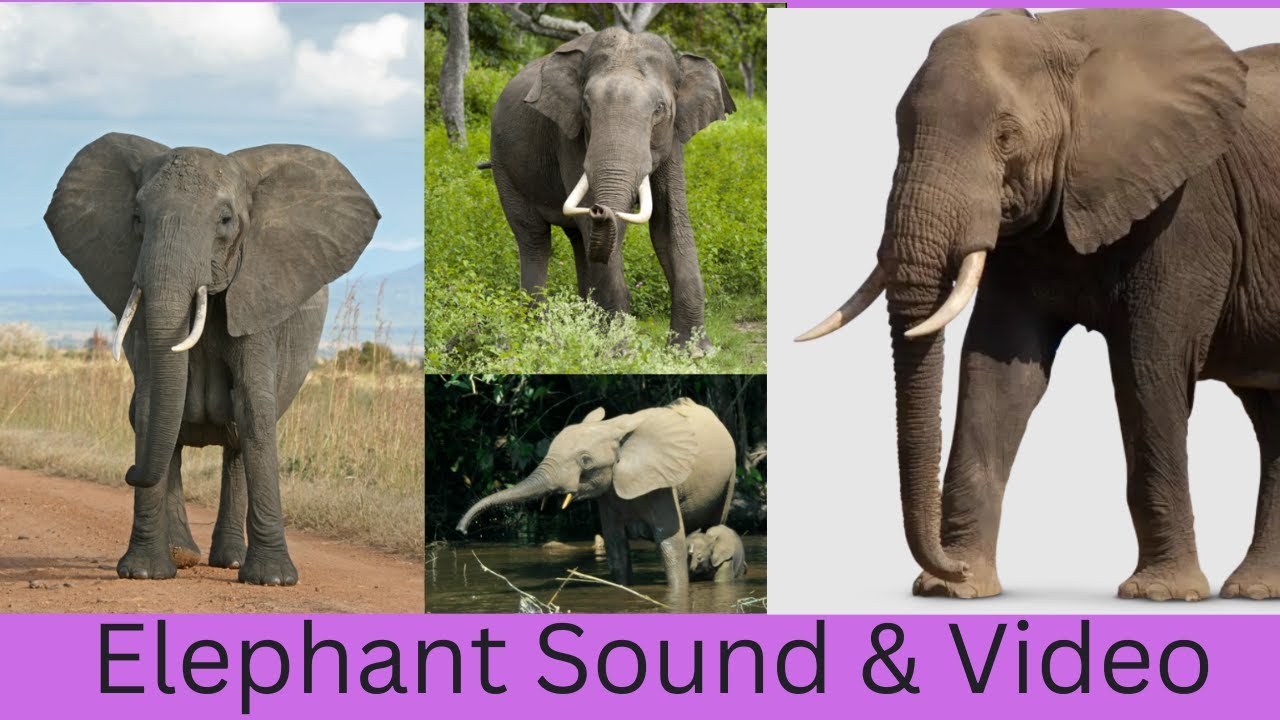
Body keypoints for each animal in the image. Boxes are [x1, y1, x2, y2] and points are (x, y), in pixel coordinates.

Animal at [45, 132, 379, 585]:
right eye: (137, 218)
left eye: (225, 220)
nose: (128, 473)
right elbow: (149, 407)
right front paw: (144, 572)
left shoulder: (259, 294)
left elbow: (254, 408)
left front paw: (273, 580)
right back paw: (182, 555)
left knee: (238, 437)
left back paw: (230, 561)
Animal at [456, 398, 736, 595]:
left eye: (585, 460)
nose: (461, 531)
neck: (613, 428)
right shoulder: (609, 493)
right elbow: (616, 548)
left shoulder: (662, 483)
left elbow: (670, 543)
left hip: (730, 477)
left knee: (715, 523)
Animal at [487, 27, 736, 351]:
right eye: (586, 106)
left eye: (660, 109)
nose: (599, 208)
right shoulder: (569, 137)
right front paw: (620, 351)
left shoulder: (673, 139)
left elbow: (670, 224)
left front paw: (693, 352)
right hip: (504, 166)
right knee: (534, 239)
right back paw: (539, 336)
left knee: (579, 242)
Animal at [798, 8, 1280, 601]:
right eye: (897, 130)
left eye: (1007, 137)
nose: (945, 569)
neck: (1064, 37)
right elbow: (997, 372)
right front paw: (957, 589)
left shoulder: (1188, 211)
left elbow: (1148, 368)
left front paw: (1158, 595)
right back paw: (1255, 590)